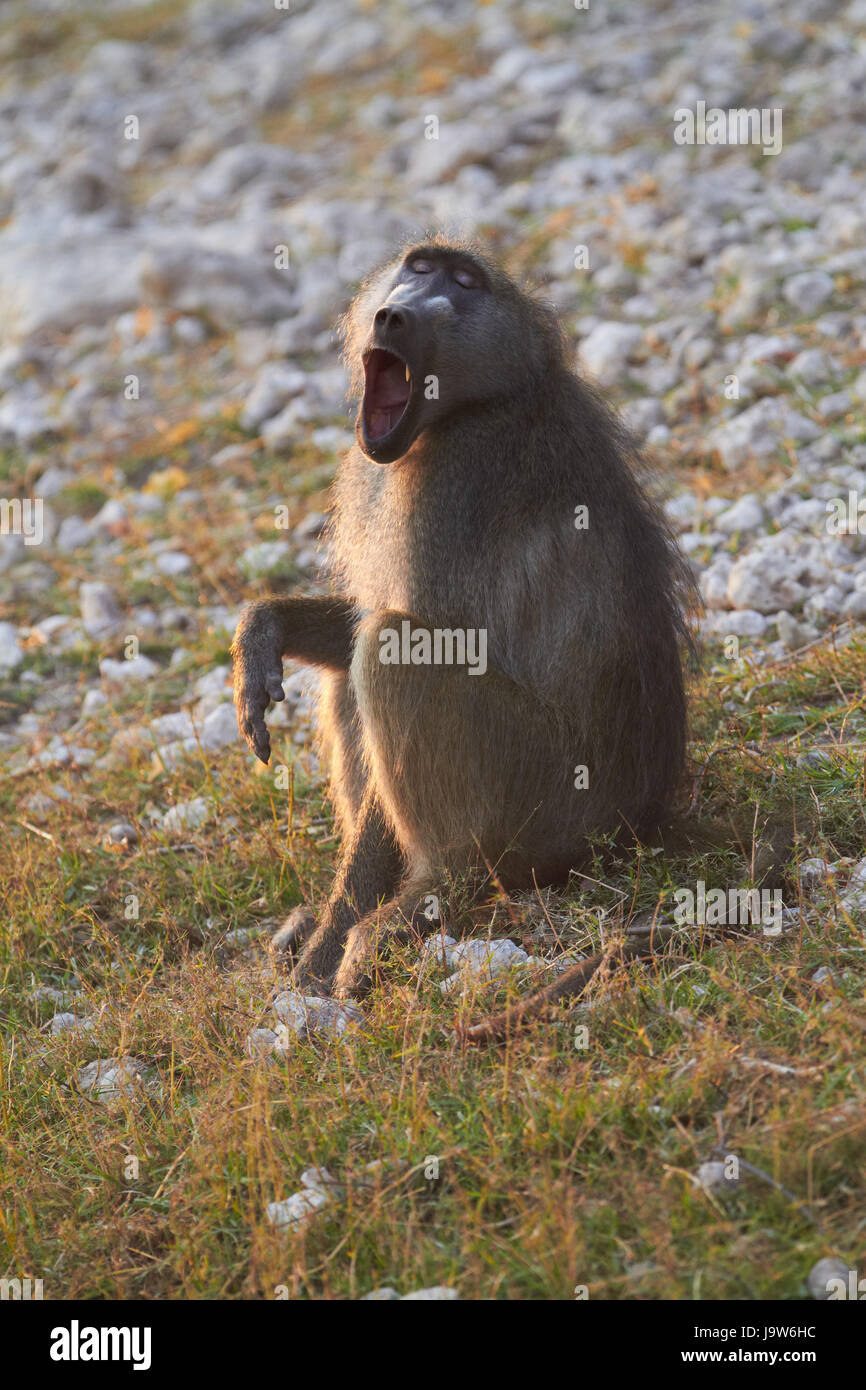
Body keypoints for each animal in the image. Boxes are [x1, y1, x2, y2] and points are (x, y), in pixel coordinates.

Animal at [231, 235, 696, 1011]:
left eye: (464, 283)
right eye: (418, 269)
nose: (393, 316)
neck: (472, 408)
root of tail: (638, 815)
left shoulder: (457, 485)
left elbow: (423, 634)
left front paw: (332, 945)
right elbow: (357, 614)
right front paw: (263, 630)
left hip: (542, 796)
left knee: (389, 649)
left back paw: (428, 896)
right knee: (355, 663)